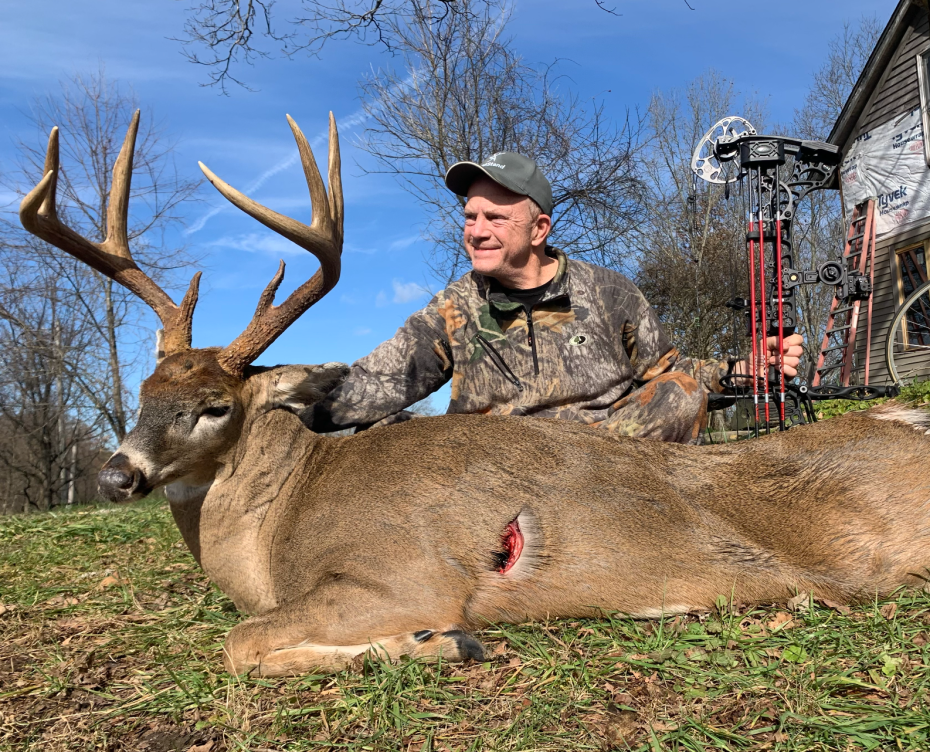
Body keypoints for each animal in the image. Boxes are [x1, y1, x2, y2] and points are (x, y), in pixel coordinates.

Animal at [20, 110, 930, 678]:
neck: (277, 528)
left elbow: (240, 646)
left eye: (214, 405)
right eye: (141, 391)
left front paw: (438, 644)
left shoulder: (401, 574)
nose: (116, 474)